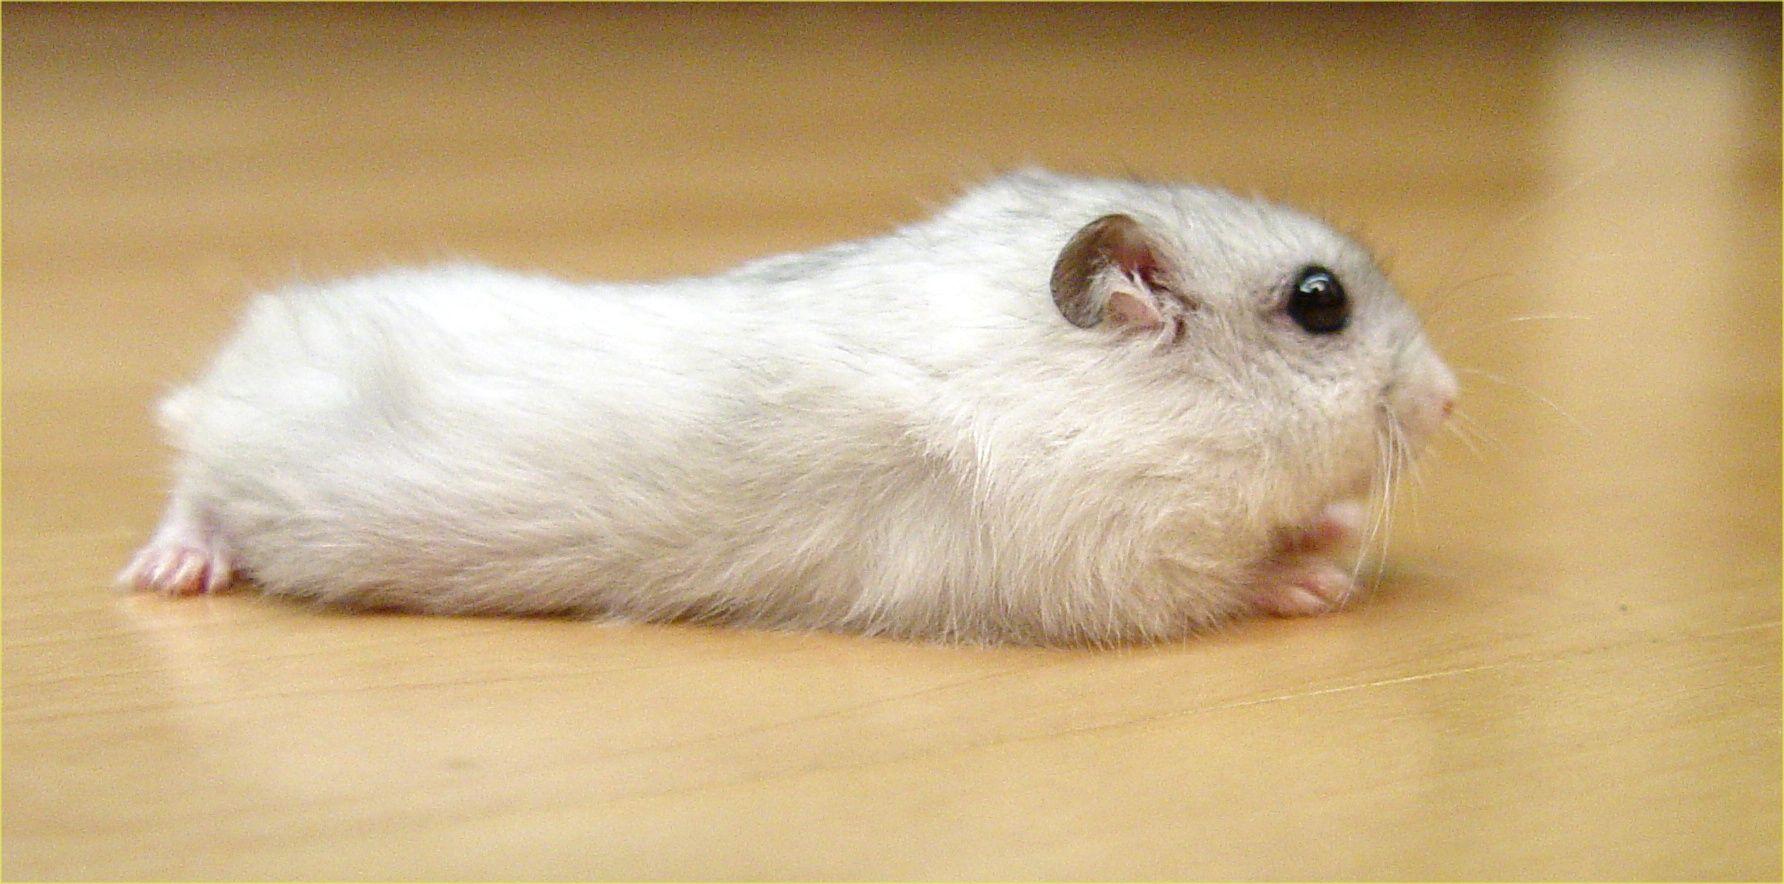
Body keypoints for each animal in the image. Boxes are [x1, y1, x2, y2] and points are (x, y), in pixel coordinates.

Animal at [119, 169, 1457, 646]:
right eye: (1320, 302)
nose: (1446, 399)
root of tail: (236, 362)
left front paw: (1331, 531)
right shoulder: (1103, 566)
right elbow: (1222, 584)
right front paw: (1314, 576)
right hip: (251, 466)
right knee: (193, 487)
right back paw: (169, 571)